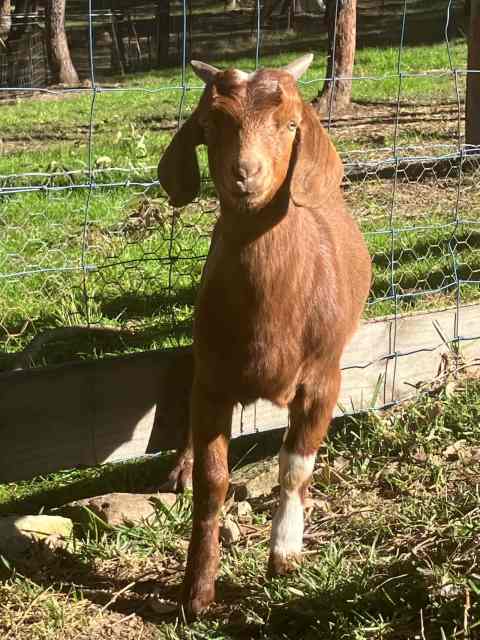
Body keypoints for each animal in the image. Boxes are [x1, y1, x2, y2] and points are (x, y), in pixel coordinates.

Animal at [157, 54, 371, 617]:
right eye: (210, 125)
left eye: (292, 125)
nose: (245, 174)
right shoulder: (212, 381)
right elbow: (213, 483)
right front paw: (197, 589)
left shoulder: (323, 379)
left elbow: (294, 467)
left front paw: (284, 556)